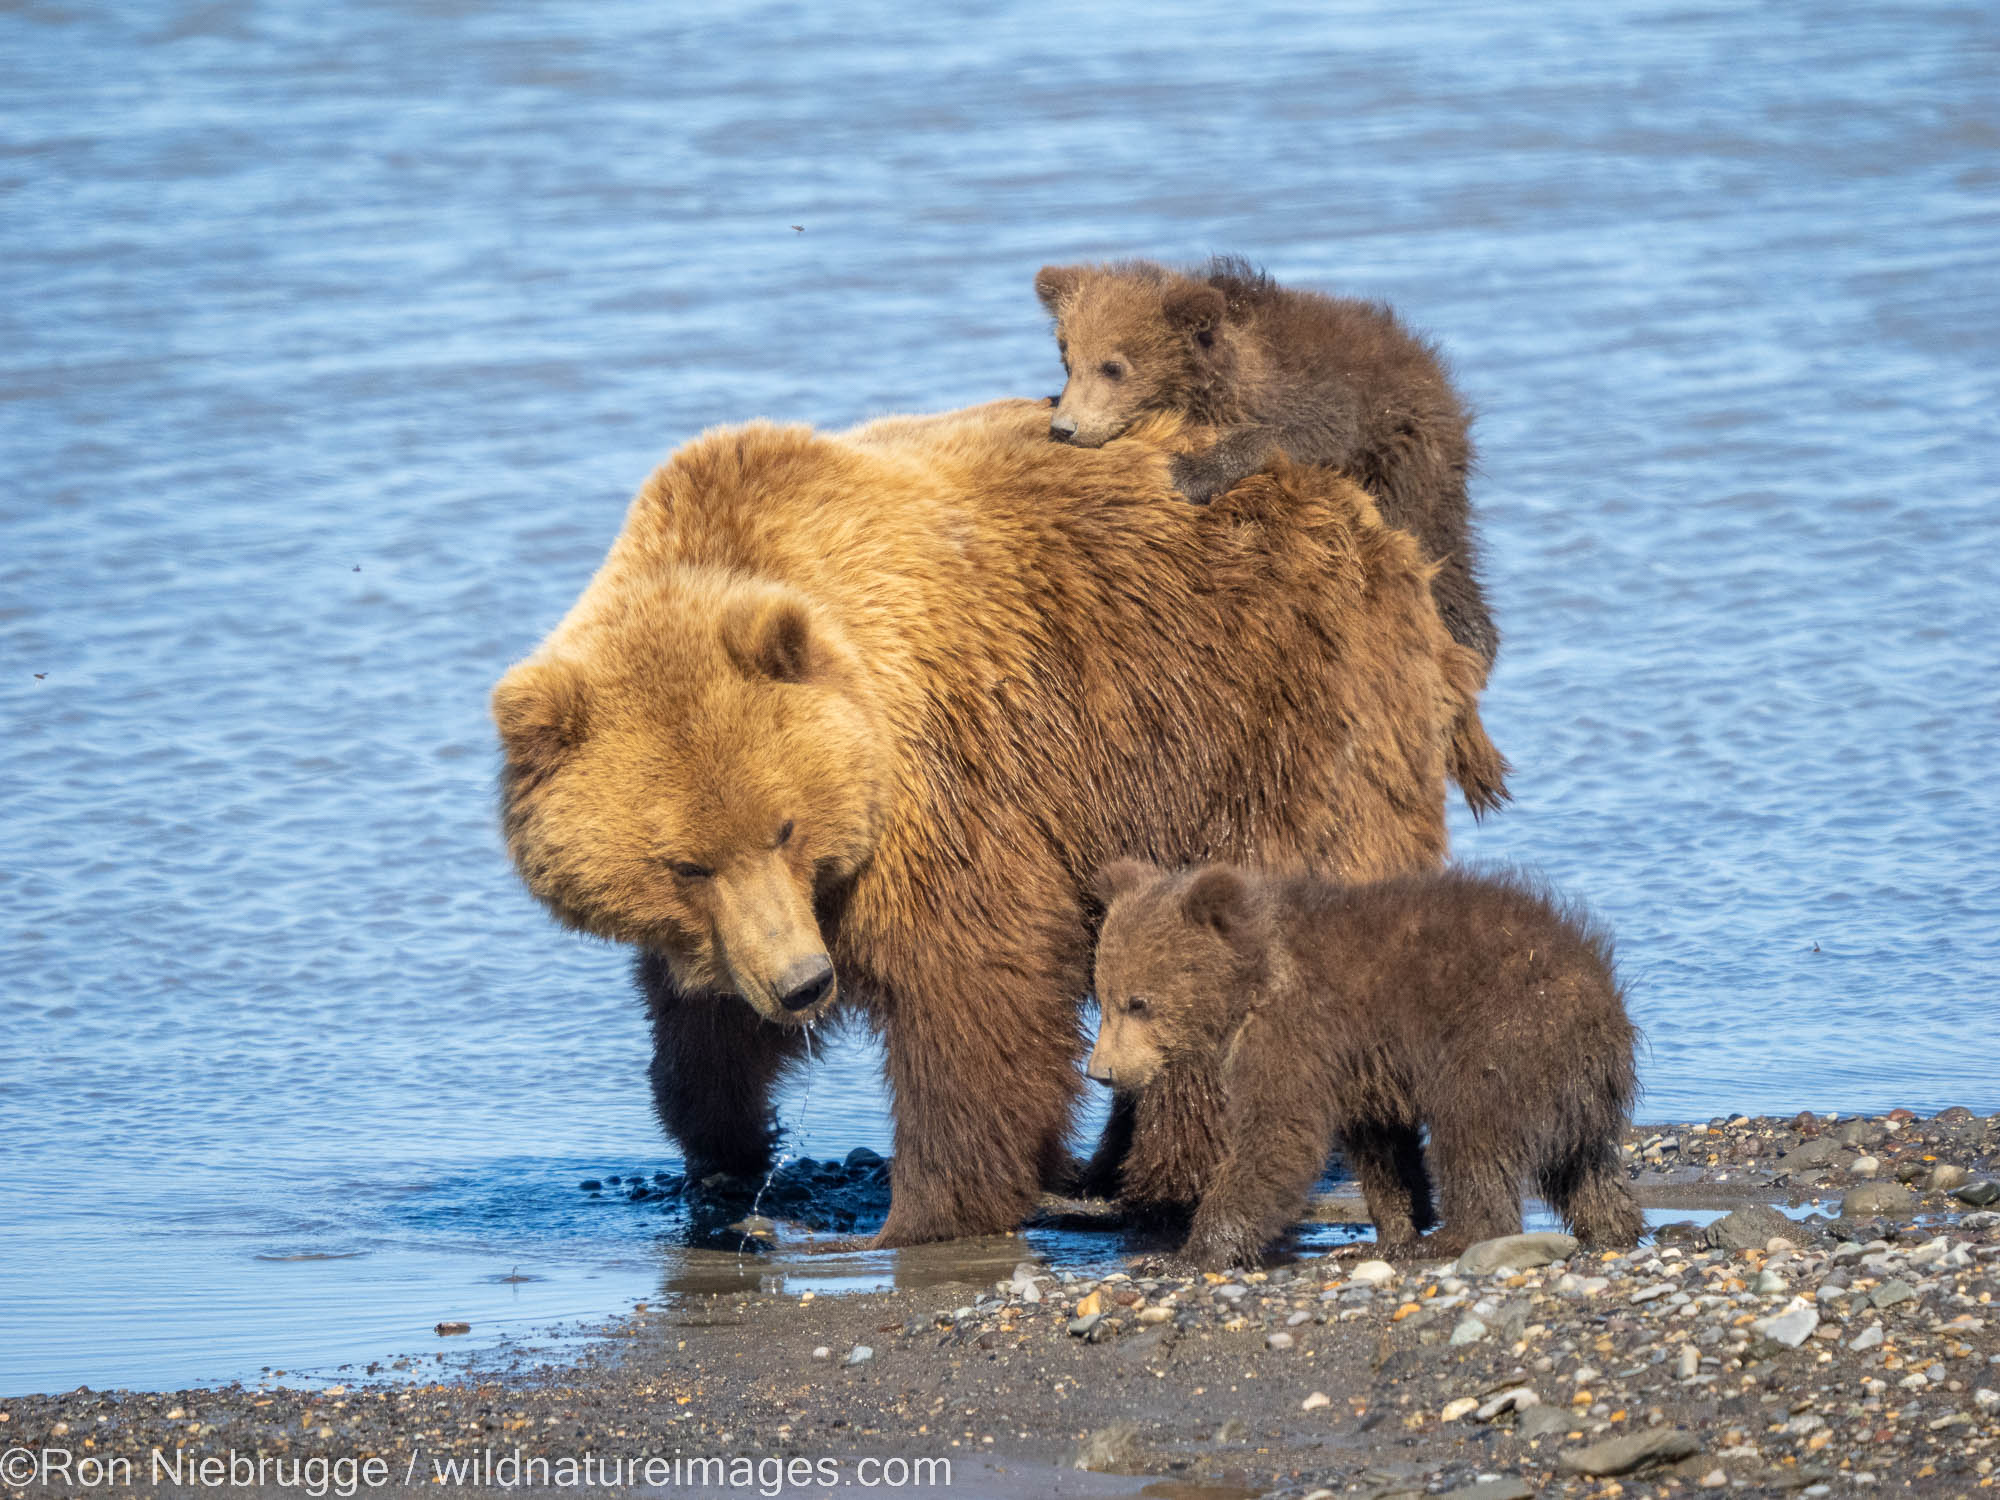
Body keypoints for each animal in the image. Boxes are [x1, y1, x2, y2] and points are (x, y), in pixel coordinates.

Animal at [492, 398, 1508, 1247]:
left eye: (784, 826)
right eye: (684, 865)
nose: (804, 984)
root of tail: (1384, 537)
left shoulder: (947, 784)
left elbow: (972, 983)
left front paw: (926, 1209)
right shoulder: (755, 918)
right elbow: (701, 1031)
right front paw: (724, 1152)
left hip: (1273, 724)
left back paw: (1157, 1178)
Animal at [1034, 258, 1506, 813]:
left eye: (1114, 366)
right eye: (1067, 358)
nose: (1065, 428)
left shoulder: (1315, 396)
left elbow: (1289, 434)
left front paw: (1191, 472)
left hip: (1407, 457)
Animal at [1088, 859, 1644, 1270]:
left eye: (1138, 1002)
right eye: (1103, 995)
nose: (1101, 1071)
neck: (1248, 986)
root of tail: (1605, 1005)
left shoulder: (1300, 1031)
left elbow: (1277, 1135)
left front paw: (1185, 1254)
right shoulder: (1363, 1067)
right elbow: (1382, 1149)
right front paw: (1389, 1234)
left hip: (1506, 1037)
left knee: (1473, 1133)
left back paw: (1456, 1236)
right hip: (1573, 1086)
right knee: (1586, 1166)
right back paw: (1612, 1228)